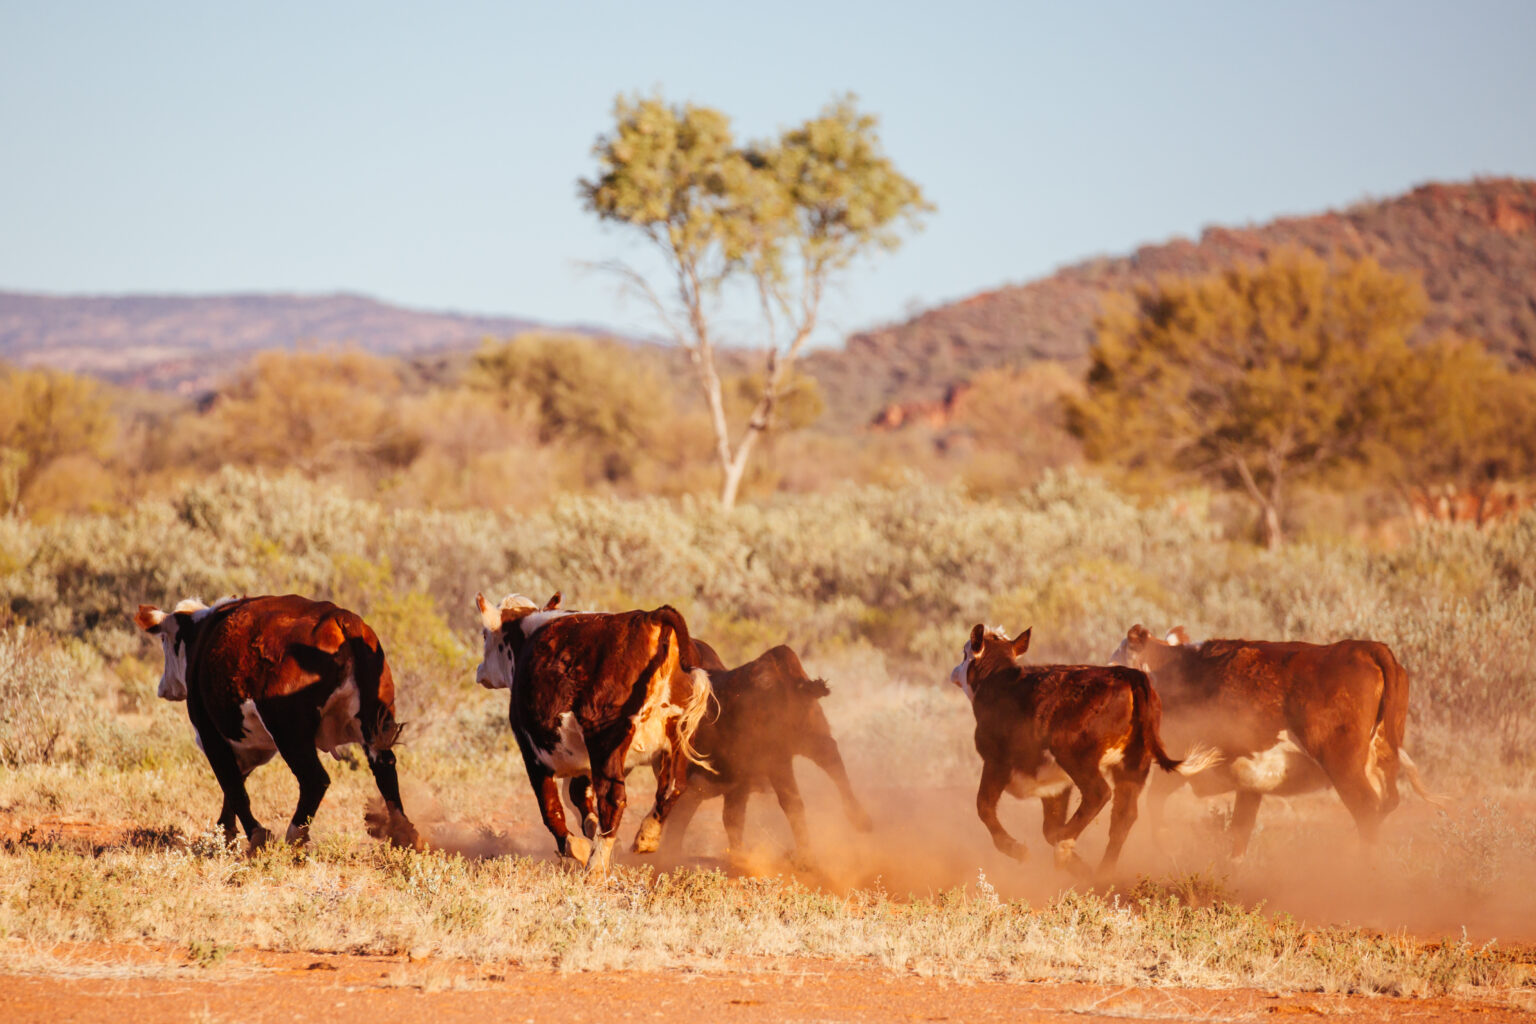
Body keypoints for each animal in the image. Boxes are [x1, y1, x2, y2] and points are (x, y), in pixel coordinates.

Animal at [134, 594, 420, 851]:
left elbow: (233, 786)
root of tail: (341, 619)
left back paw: (294, 838)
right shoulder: (251, 746)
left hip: (290, 733)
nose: (163, 687)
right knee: (385, 769)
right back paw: (404, 835)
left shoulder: (210, 733)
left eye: (164, 639)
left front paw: (251, 835)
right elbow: (235, 785)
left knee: (315, 779)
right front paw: (224, 833)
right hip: (375, 724)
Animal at [474, 591, 714, 878]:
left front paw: (575, 846)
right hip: (675, 737)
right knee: (673, 787)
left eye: (484, 635)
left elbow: (551, 808)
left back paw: (595, 867)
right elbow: (578, 795)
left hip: (605, 739)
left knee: (613, 799)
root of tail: (650, 618)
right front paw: (590, 829)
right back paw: (646, 837)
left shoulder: (532, 752)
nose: (480, 670)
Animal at [950, 623, 1216, 877]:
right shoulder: (1054, 783)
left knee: (1099, 793)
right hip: (1133, 763)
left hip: (1074, 754)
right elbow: (1049, 827)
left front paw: (1017, 849)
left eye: (965, 653)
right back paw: (1101, 875)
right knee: (1123, 815)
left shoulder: (996, 762)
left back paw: (1064, 848)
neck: (999, 684)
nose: (954, 671)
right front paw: (1080, 867)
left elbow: (984, 806)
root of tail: (1129, 674)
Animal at [1109, 624, 1446, 856]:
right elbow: (1239, 835)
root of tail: (1366, 649)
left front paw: (1167, 846)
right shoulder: (1250, 781)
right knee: (1386, 804)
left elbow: (1154, 803)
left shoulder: (1183, 759)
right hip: (1383, 758)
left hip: (1344, 766)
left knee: (1366, 808)